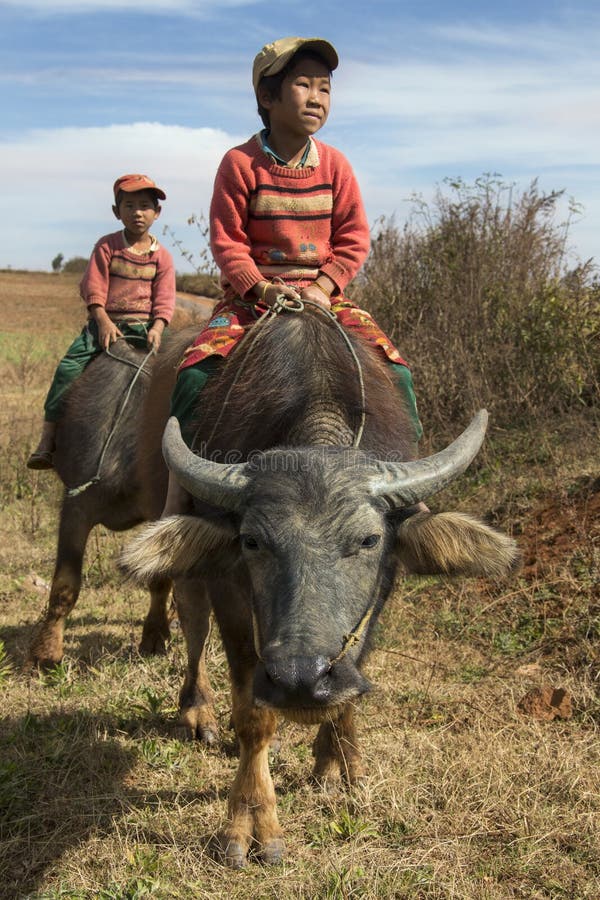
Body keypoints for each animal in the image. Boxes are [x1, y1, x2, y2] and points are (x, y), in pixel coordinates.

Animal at [119, 306, 519, 867]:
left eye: (370, 539)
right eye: (252, 541)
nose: (301, 680)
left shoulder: (377, 599)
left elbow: (354, 677)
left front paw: (336, 763)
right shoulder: (231, 593)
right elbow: (253, 713)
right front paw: (250, 823)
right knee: (193, 624)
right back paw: (198, 712)